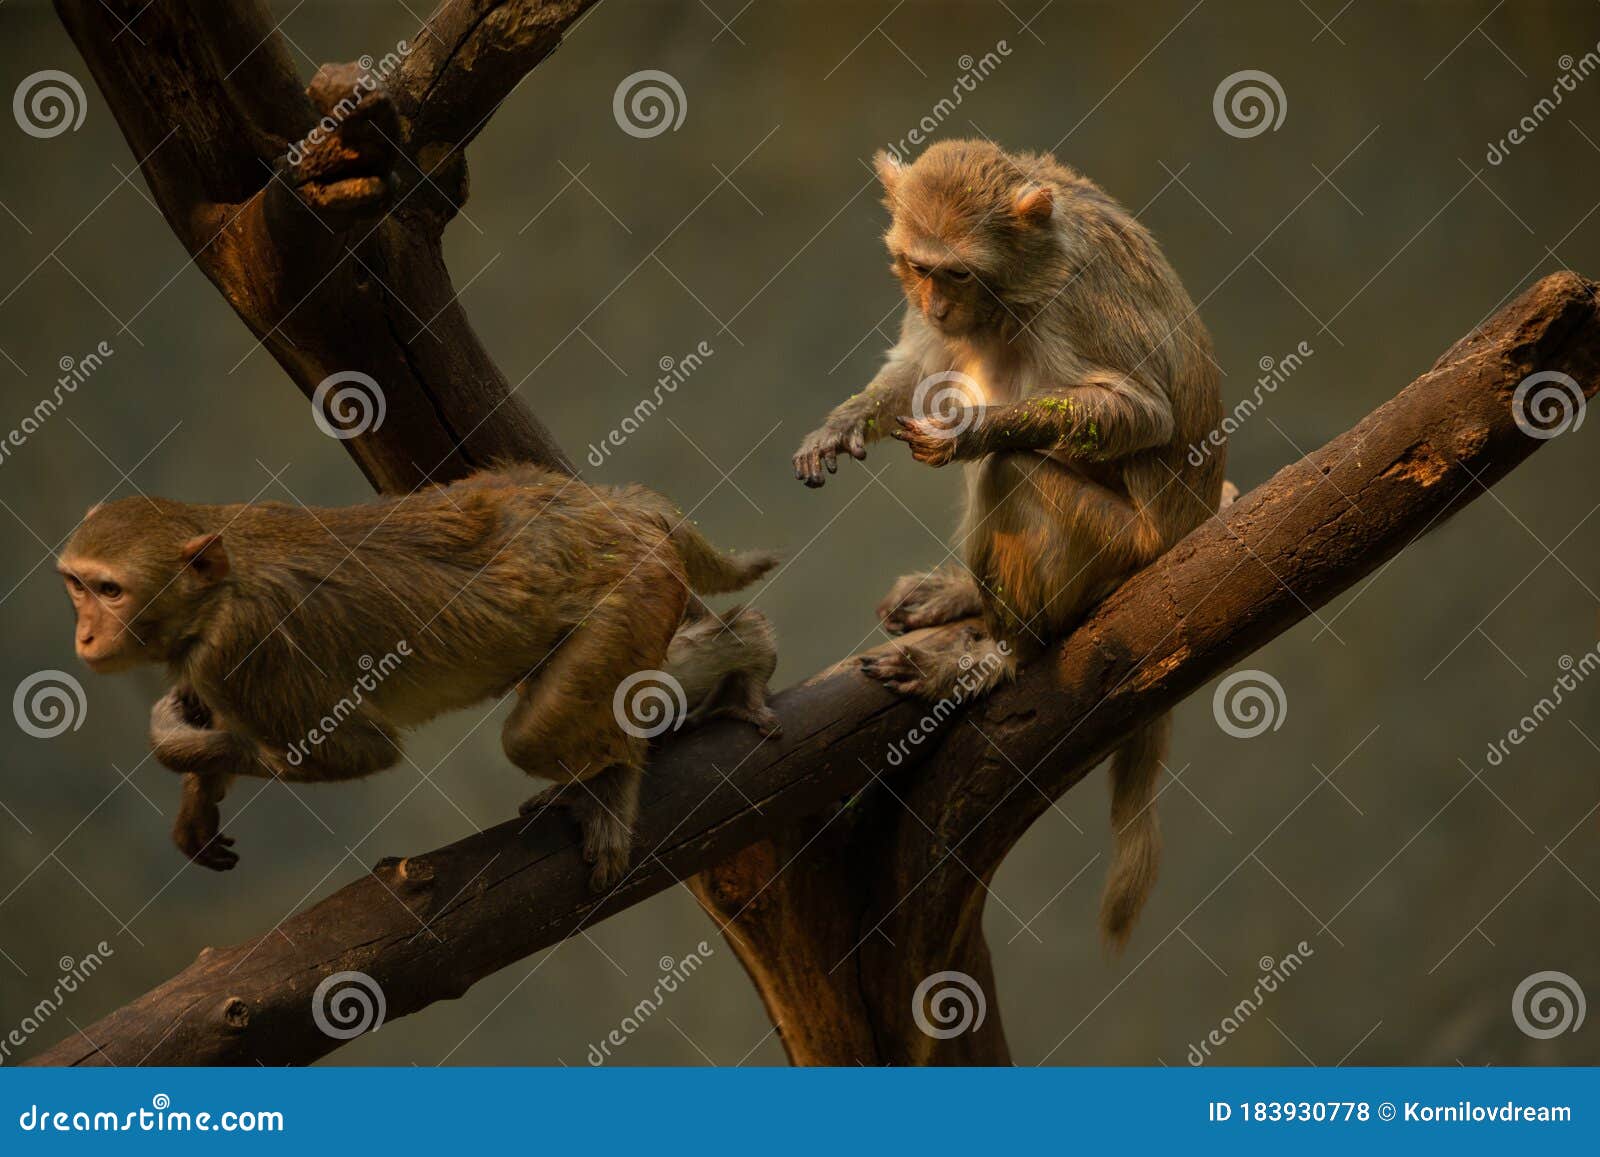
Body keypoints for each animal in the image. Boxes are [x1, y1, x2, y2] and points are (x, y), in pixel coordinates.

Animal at [56, 463, 781, 890]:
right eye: (75, 586)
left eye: (109, 590)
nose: (84, 634)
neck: (216, 589)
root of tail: (609, 508)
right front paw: (198, 795)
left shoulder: (239, 649)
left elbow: (354, 751)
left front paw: (175, 744)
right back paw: (745, 644)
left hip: (633, 586)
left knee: (537, 736)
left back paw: (619, 771)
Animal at [794, 140, 1226, 949]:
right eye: (917, 267)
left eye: (958, 273)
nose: (936, 305)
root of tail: (1195, 525)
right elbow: (920, 367)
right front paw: (842, 422)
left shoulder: (1071, 304)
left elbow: (1142, 414)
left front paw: (971, 428)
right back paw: (965, 598)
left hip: (1128, 546)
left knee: (1015, 469)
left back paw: (1001, 653)